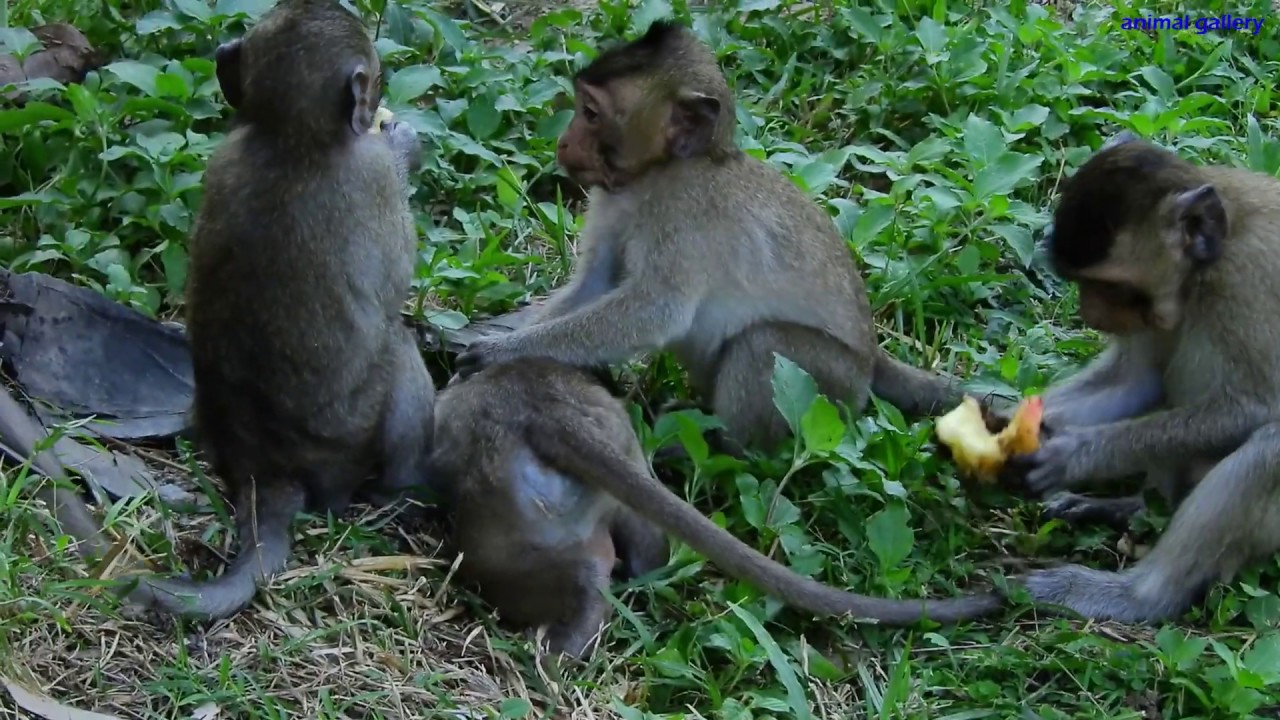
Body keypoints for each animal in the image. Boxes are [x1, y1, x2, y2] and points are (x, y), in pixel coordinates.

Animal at [125, 0, 437, 620]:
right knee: (397, 348)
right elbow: (394, 283)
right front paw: (403, 144)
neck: (290, 137)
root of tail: (262, 470)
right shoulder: (372, 182)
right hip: (347, 449)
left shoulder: (223, 156)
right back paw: (401, 489)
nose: (376, 107)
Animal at [454, 20, 970, 454]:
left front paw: (502, 352)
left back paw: (714, 447)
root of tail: (871, 358)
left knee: (762, 343)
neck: (662, 171)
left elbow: (655, 311)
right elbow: (593, 286)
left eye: (592, 113)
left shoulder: (685, 214)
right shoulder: (611, 198)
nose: (564, 142)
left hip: (833, 385)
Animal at [997, 131, 1280, 623]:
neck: (1205, 269)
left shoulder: (1245, 281)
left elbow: (1259, 408)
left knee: (1269, 445)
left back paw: (1138, 595)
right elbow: (1136, 380)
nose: (1089, 313)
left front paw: (1075, 455)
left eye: (1111, 287)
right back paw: (1128, 507)